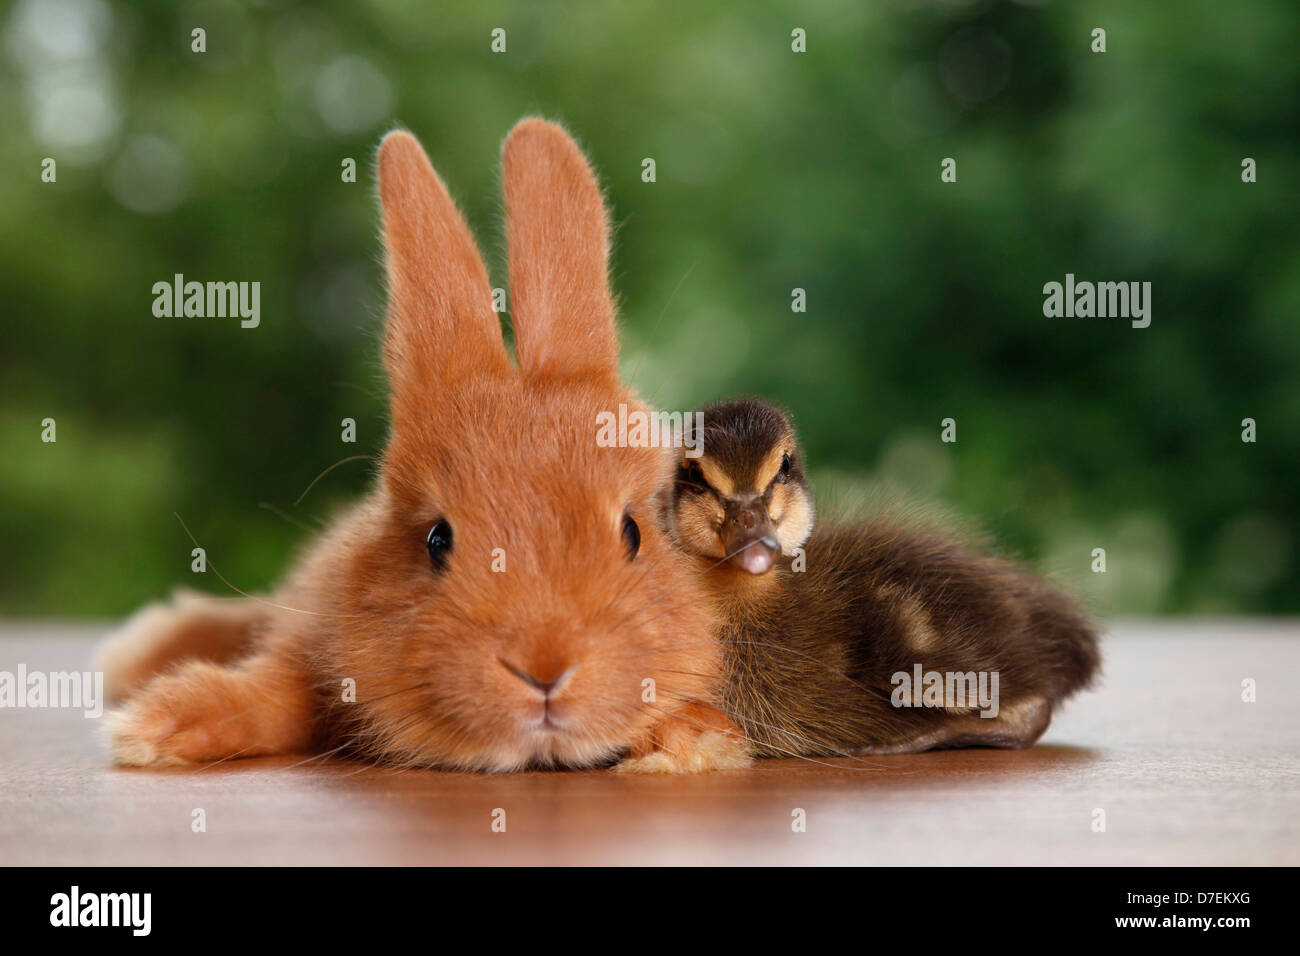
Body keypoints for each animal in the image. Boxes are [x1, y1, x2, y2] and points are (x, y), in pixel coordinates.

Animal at [97, 119, 752, 774]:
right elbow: (277, 692)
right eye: (438, 540)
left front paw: (688, 738)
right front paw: (156, 725)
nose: (545, 670)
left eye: (633, 534)